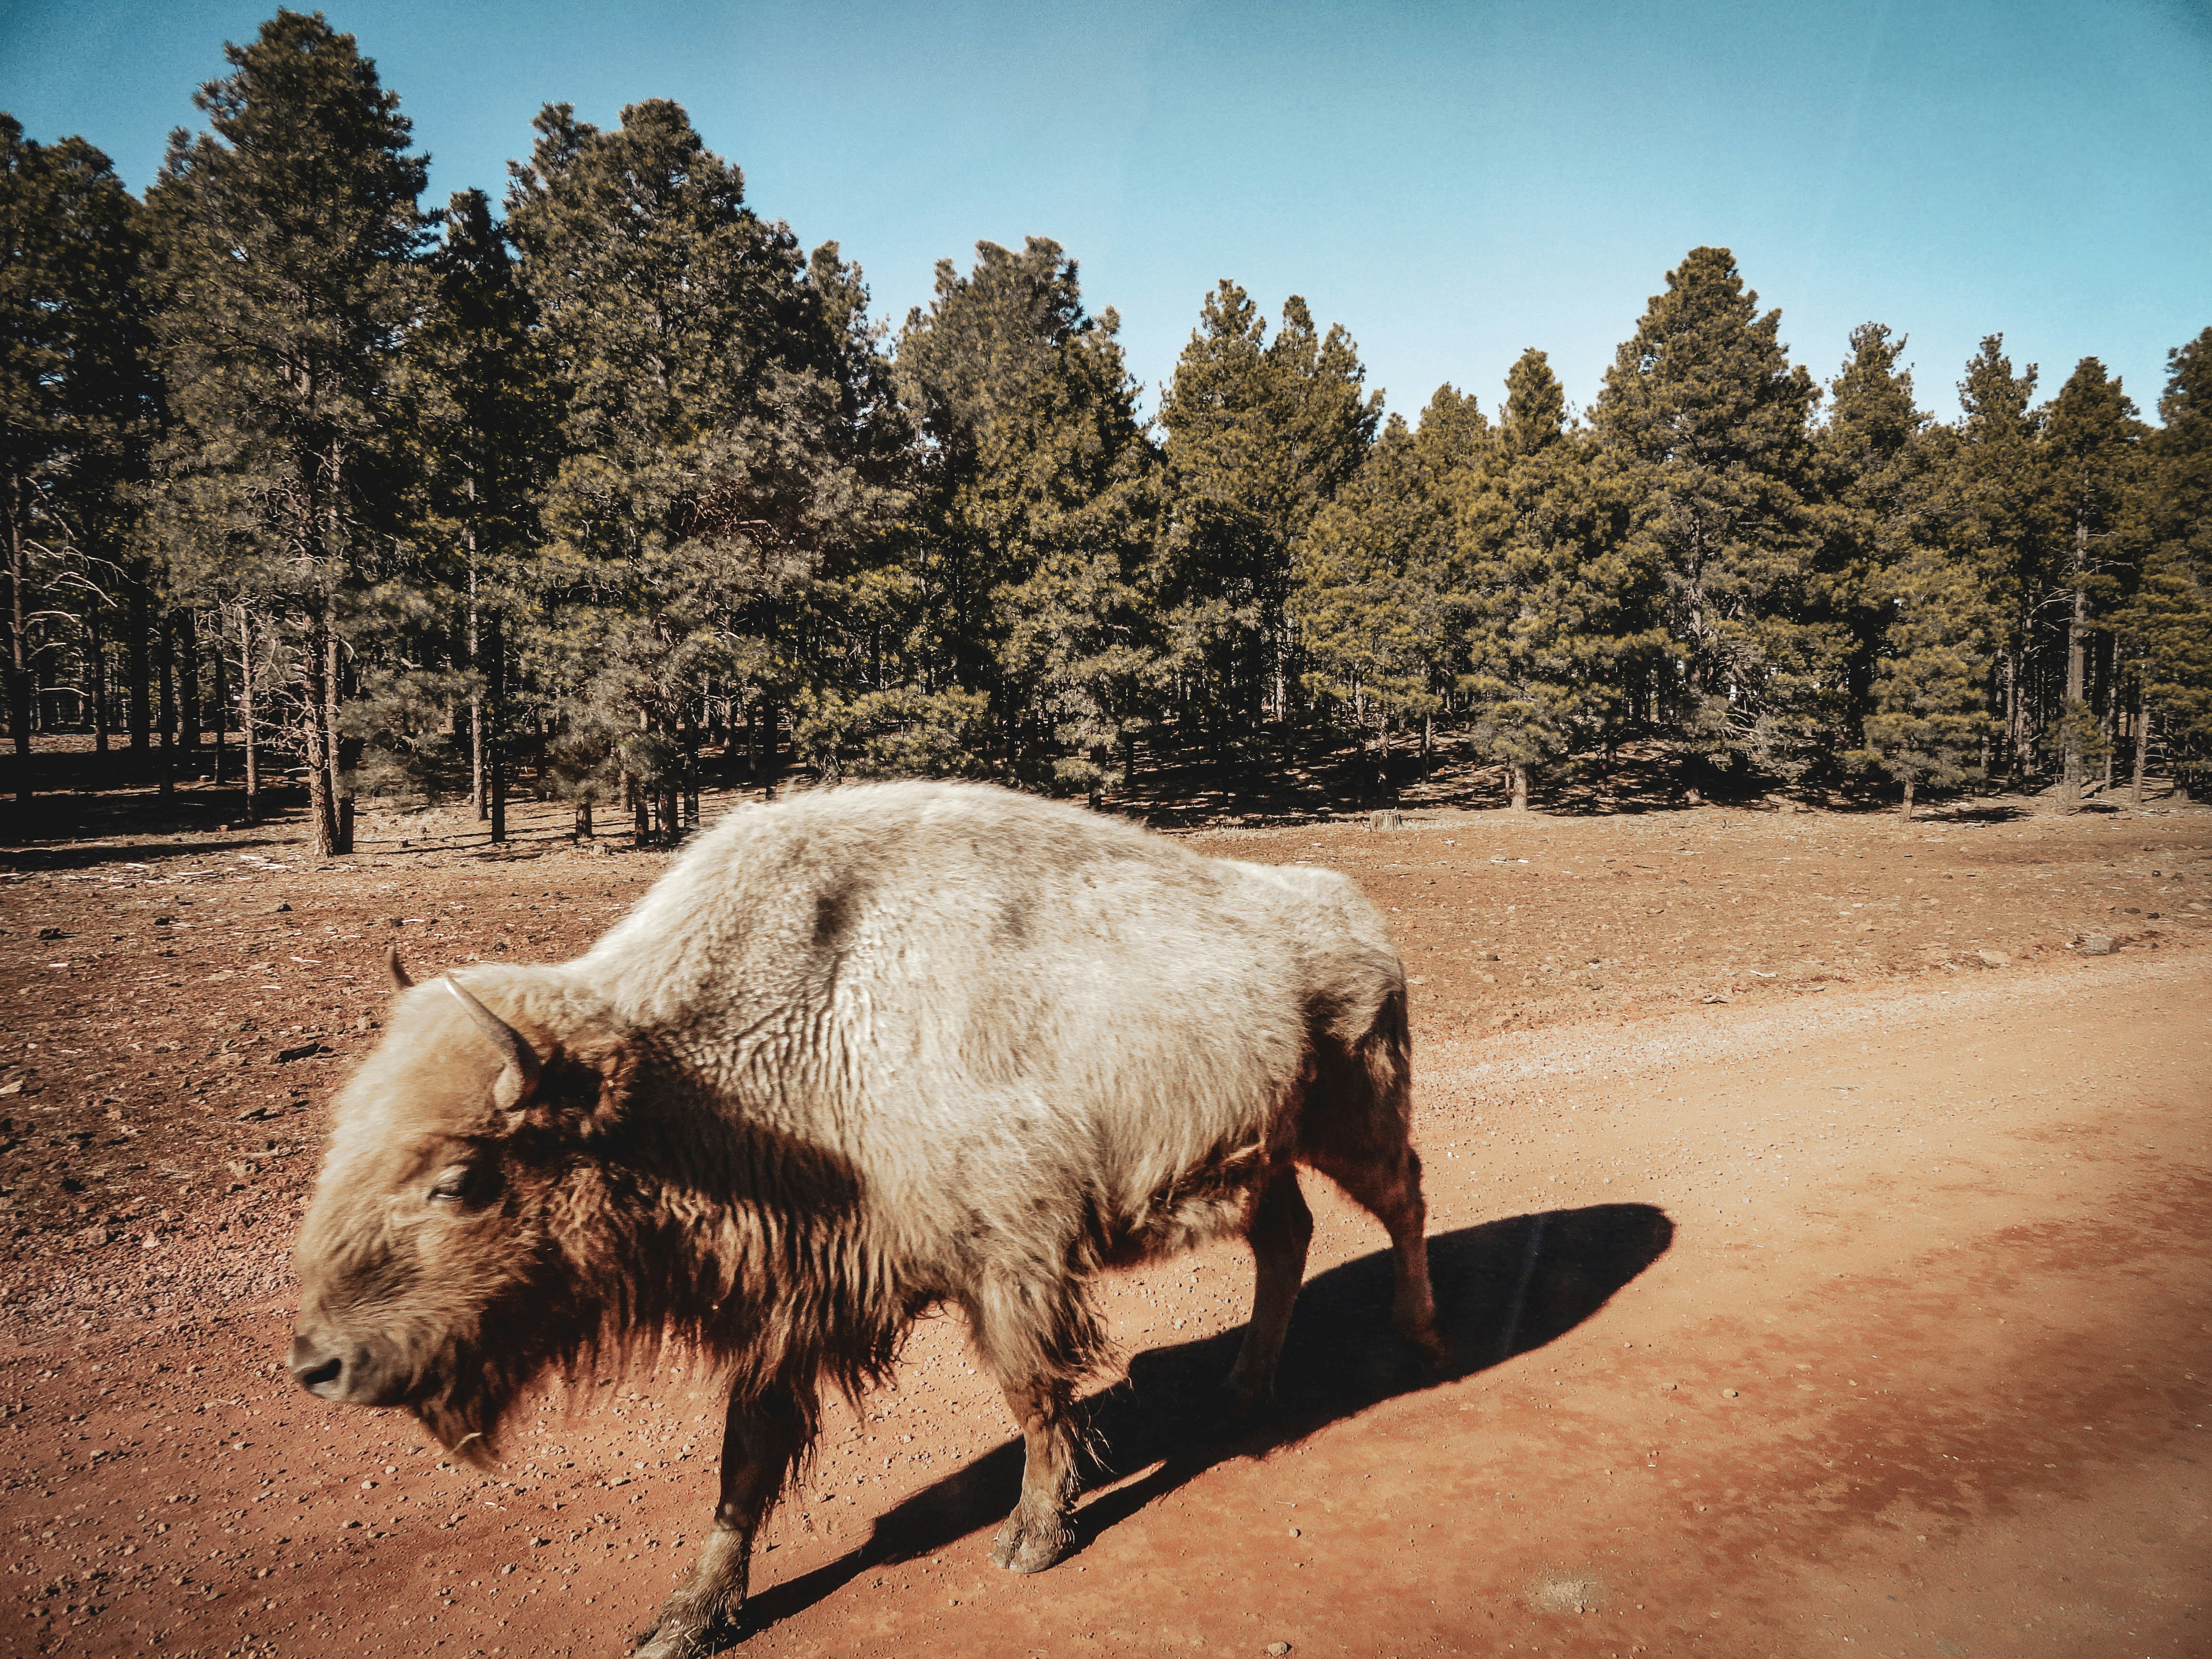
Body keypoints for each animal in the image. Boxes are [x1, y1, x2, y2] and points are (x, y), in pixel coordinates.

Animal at [289, 780, 1442, 1657]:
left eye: (461, 1180)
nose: (318, 1364)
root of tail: (1352, 909)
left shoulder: (1011, 1264)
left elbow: (1034, 1397)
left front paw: (1034, 1537)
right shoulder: (791, 1307)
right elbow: (744, 1463)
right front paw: (689, 1617)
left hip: (1356, 1116)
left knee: (1404, 1201)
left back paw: (1419, 1344)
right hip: (1263, 1152)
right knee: (1287, 1240)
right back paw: (1245, 1391)